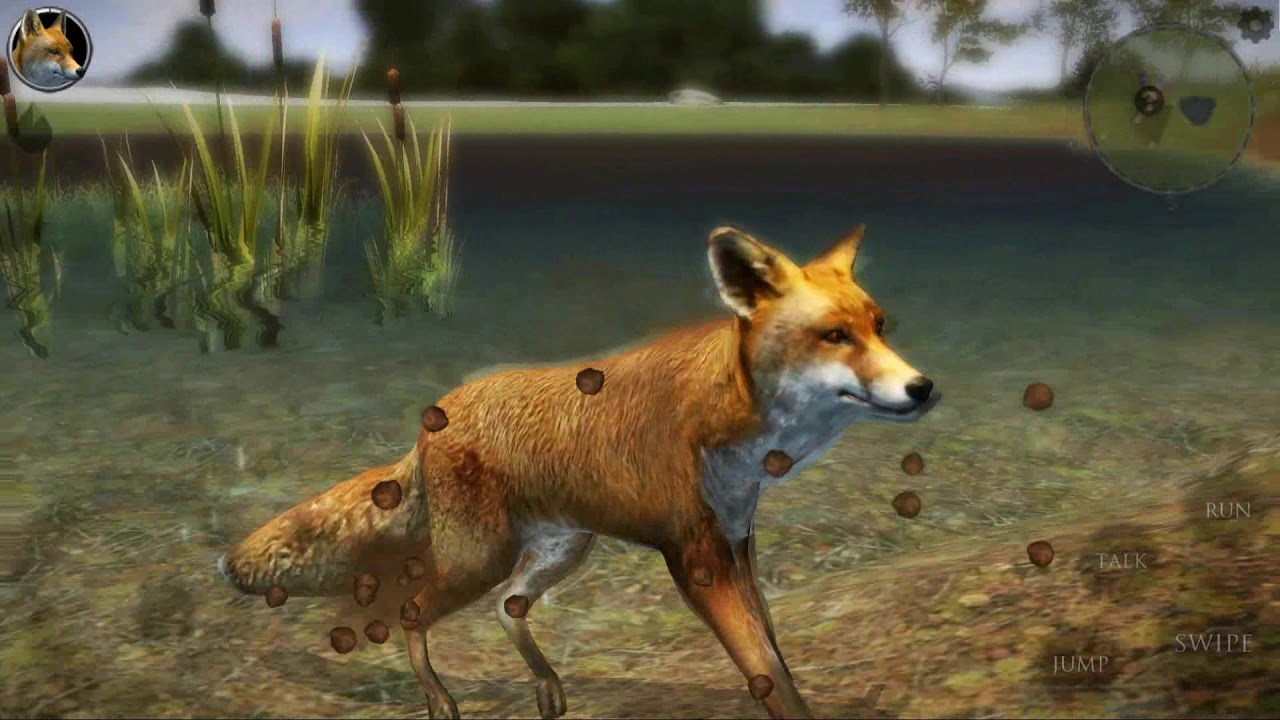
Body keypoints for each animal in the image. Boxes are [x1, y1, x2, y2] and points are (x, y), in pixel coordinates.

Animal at [216, 225, 939, 719]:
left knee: (508, 606)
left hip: (564, 549)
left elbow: (773, 651)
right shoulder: (697, 557)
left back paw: (546, 686)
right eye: (835, 336)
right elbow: (764, 668)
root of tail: (436, 413)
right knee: (412, 612)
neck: (730, 419)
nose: (923, 387)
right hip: (478, 558)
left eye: (880, 326)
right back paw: (441, 700)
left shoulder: (739, 542)